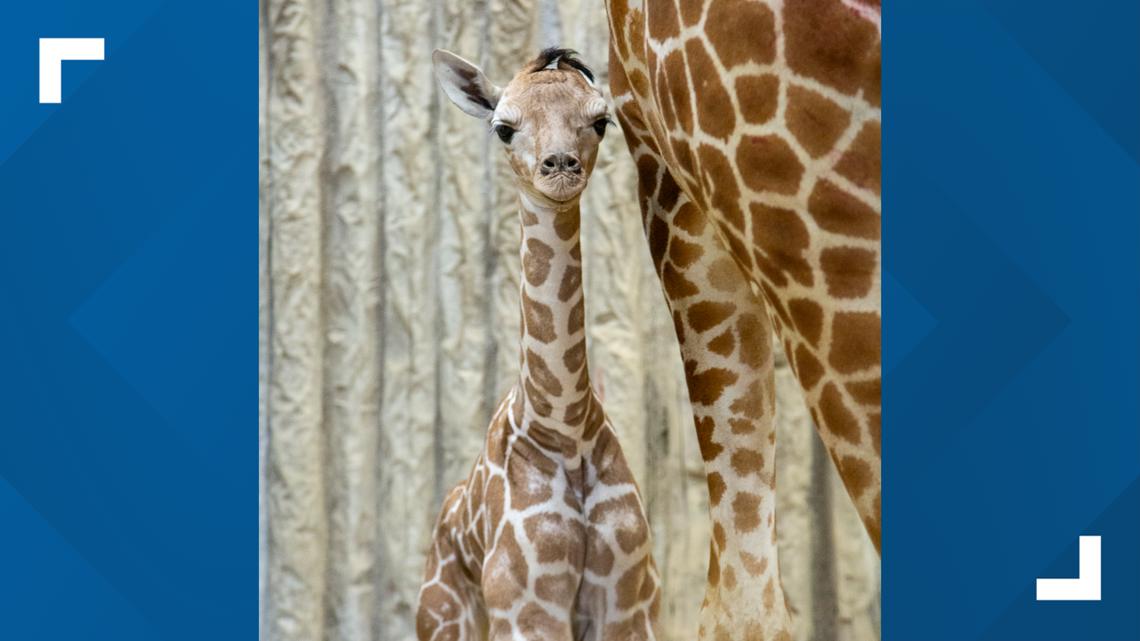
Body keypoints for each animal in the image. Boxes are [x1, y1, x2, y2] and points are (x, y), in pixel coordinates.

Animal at [416, 48, 661, 641]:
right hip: (445, 619)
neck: (566, 427)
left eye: (601, 121)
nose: (560, 165)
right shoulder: (526, 605)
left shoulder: (629, 599)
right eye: (504, 128)